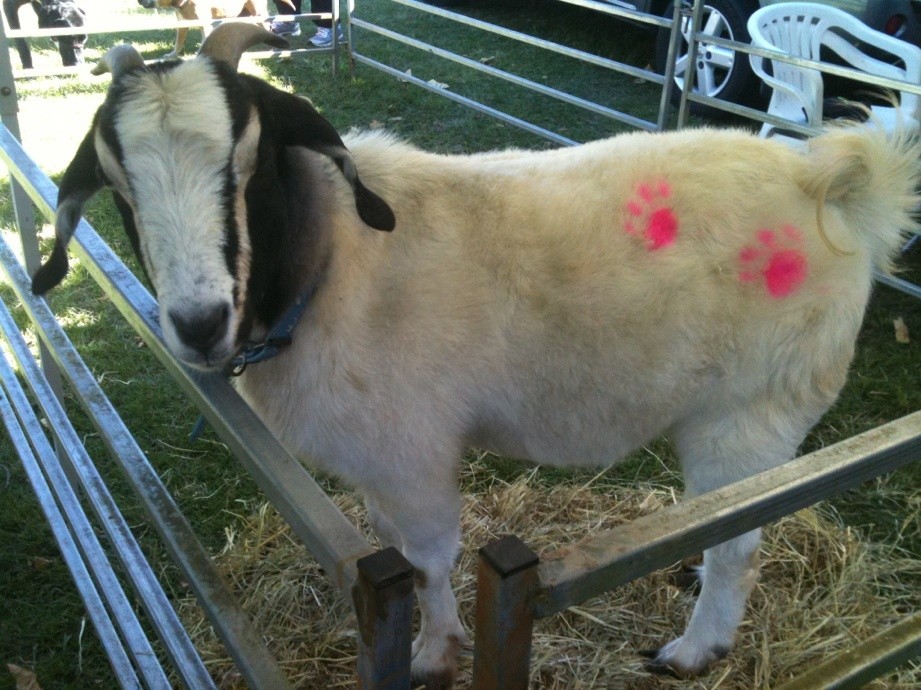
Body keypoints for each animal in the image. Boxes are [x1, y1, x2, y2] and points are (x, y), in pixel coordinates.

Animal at [31, 22, 921, 687]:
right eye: (118, 185)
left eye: (246, 162)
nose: (198, 323)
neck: (336, 258)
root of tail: (833, 188)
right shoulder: (376, 464)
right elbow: (391, 541)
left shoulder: (411, 452)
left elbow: (426, 562)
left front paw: (433, 654)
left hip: (749, 413)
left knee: (740, 542)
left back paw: (693, 649)